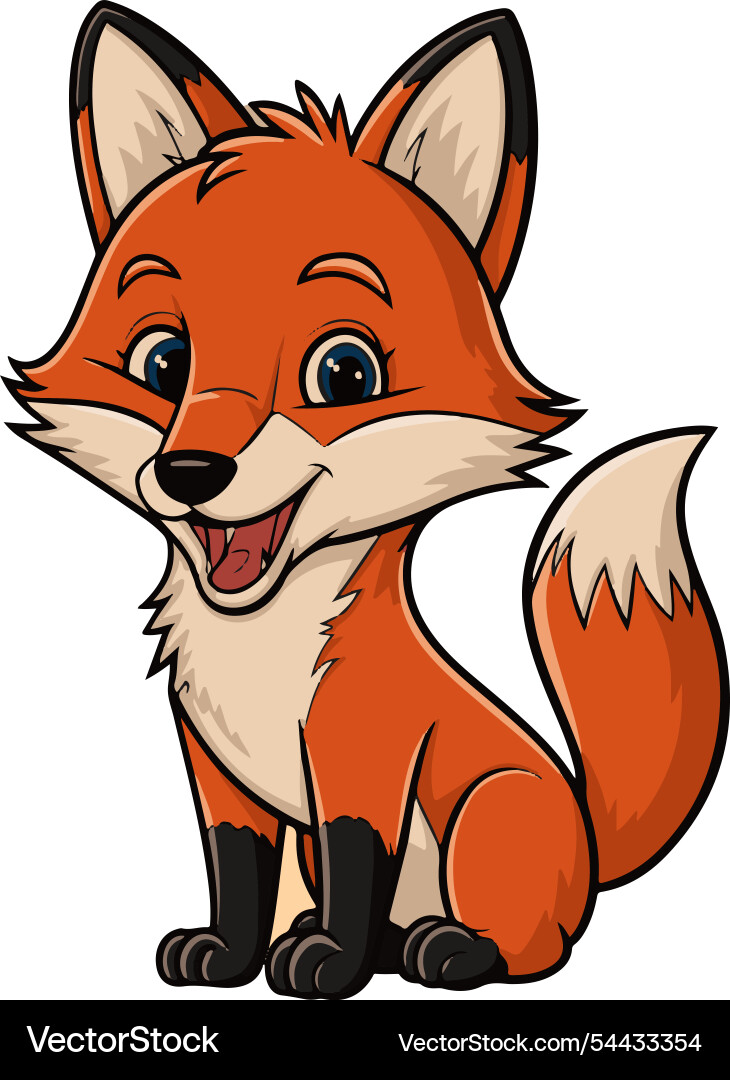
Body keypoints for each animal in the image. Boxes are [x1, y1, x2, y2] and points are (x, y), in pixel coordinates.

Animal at [6, 3, 727, 1000]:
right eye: (164, 363)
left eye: (344, 373)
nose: (191, 470)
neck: (260, 654)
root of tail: (587, 838)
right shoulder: (216, 771)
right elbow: (236, 871)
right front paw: (229, 956)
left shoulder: (364, 760)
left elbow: (357, 866)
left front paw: (329, 964)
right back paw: (375, 943)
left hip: (490, 813)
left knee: (534, 948)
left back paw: (447, 949)